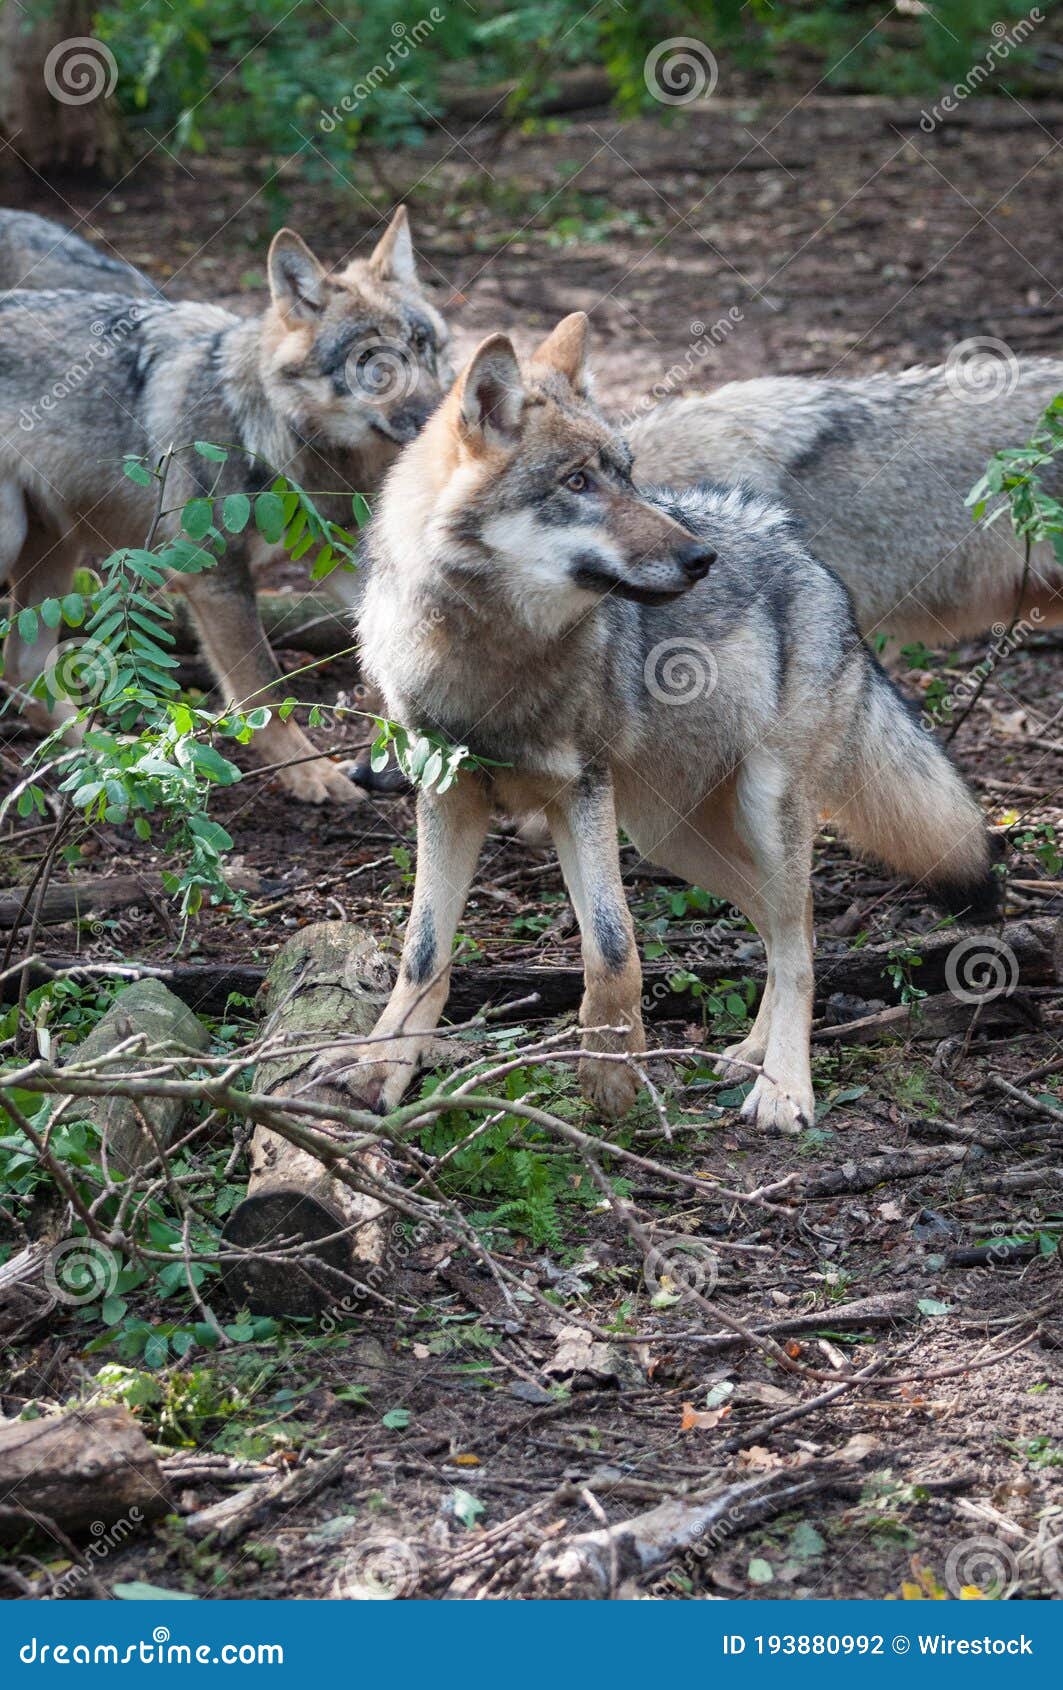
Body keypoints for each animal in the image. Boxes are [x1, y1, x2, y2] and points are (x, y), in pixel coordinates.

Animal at [341, 313, 999, 1132]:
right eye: (578, 483)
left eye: (626, 475)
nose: (700, 558)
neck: (492, 659)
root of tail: (797, 547)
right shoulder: (447, 796)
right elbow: (425, 953)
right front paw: (379, 1073)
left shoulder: (581, 792)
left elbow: (612, 946)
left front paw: (612, 1073)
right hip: (669, 837)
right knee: (791, 927)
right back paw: (752, 1054)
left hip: (759, 811)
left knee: (796, 940)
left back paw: (784, 1087)